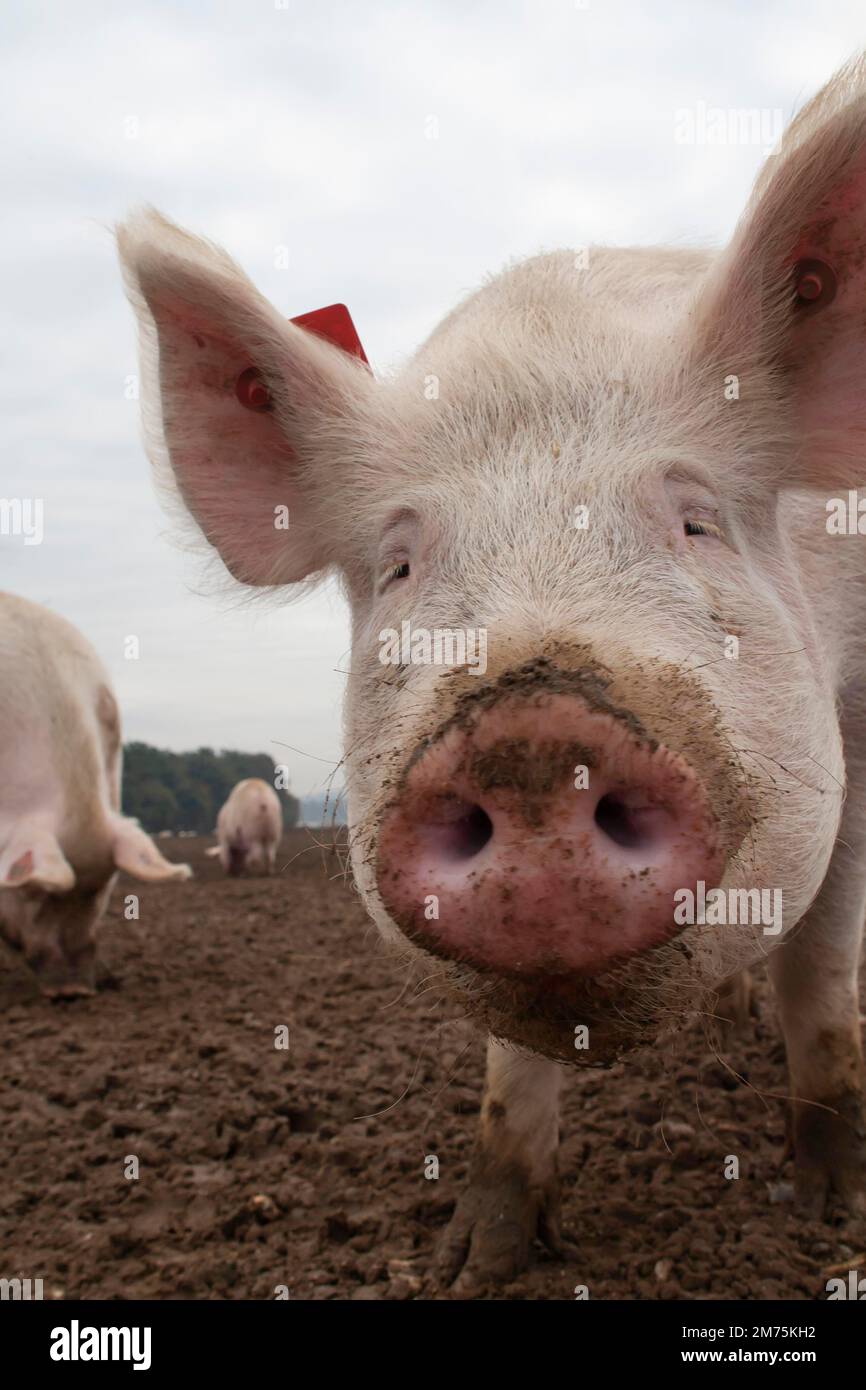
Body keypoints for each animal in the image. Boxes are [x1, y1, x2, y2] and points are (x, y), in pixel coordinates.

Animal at [118, 55, 866, 1290]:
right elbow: (509, 1068)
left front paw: (829, 1218)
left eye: (697, 521)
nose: (531, 740)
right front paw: (474, 1262)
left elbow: (820, 969)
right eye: (400, 564)